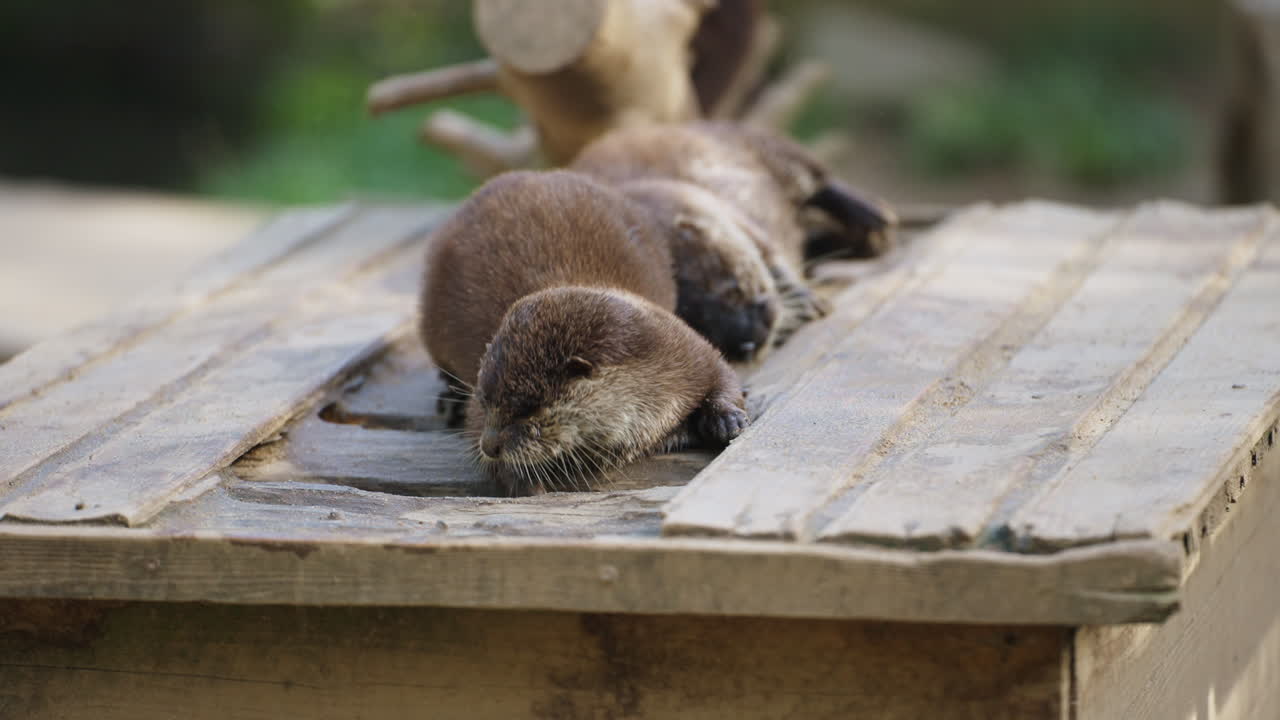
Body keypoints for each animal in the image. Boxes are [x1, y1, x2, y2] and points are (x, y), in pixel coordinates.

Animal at [420, 170, 748, 495]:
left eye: (529, 409)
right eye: (485, 399)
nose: (489, 446)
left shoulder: (684, 347)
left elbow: (722, 373)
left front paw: (728, 418)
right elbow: (477, 429)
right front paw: (524, 481)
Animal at [571, 122, 895, 359]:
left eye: (731, 289)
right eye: (702, 328)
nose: (747, 336)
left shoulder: (728, 214)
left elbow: (771, 257)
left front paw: (805, 300)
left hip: (758, 143)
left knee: (816, 177)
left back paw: (875, 215)